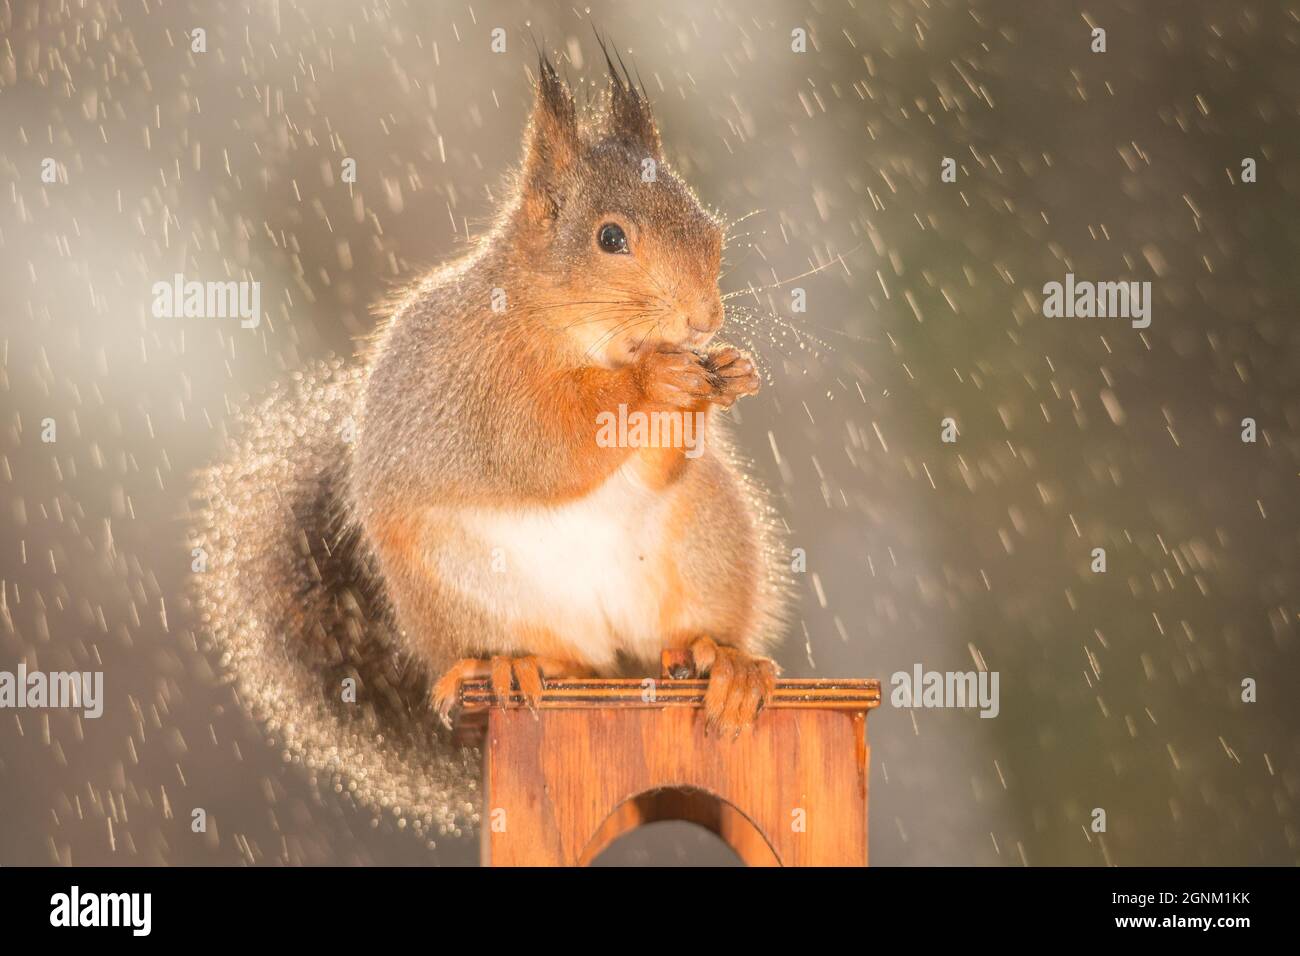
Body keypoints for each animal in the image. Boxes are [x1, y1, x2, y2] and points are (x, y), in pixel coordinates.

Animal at [195, 50, 790, 835]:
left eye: (709, 228)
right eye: (610, 237)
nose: (704, 319)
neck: (576, 332)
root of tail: (615, 657)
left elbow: (657, 468)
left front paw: (725, 374)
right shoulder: (483, 392)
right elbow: (545, 445)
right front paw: (655, 380)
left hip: (705, 542)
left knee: (682, 632)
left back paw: (722, 662)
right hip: (464, 587)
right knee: (560, 659)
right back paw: (513, 666)